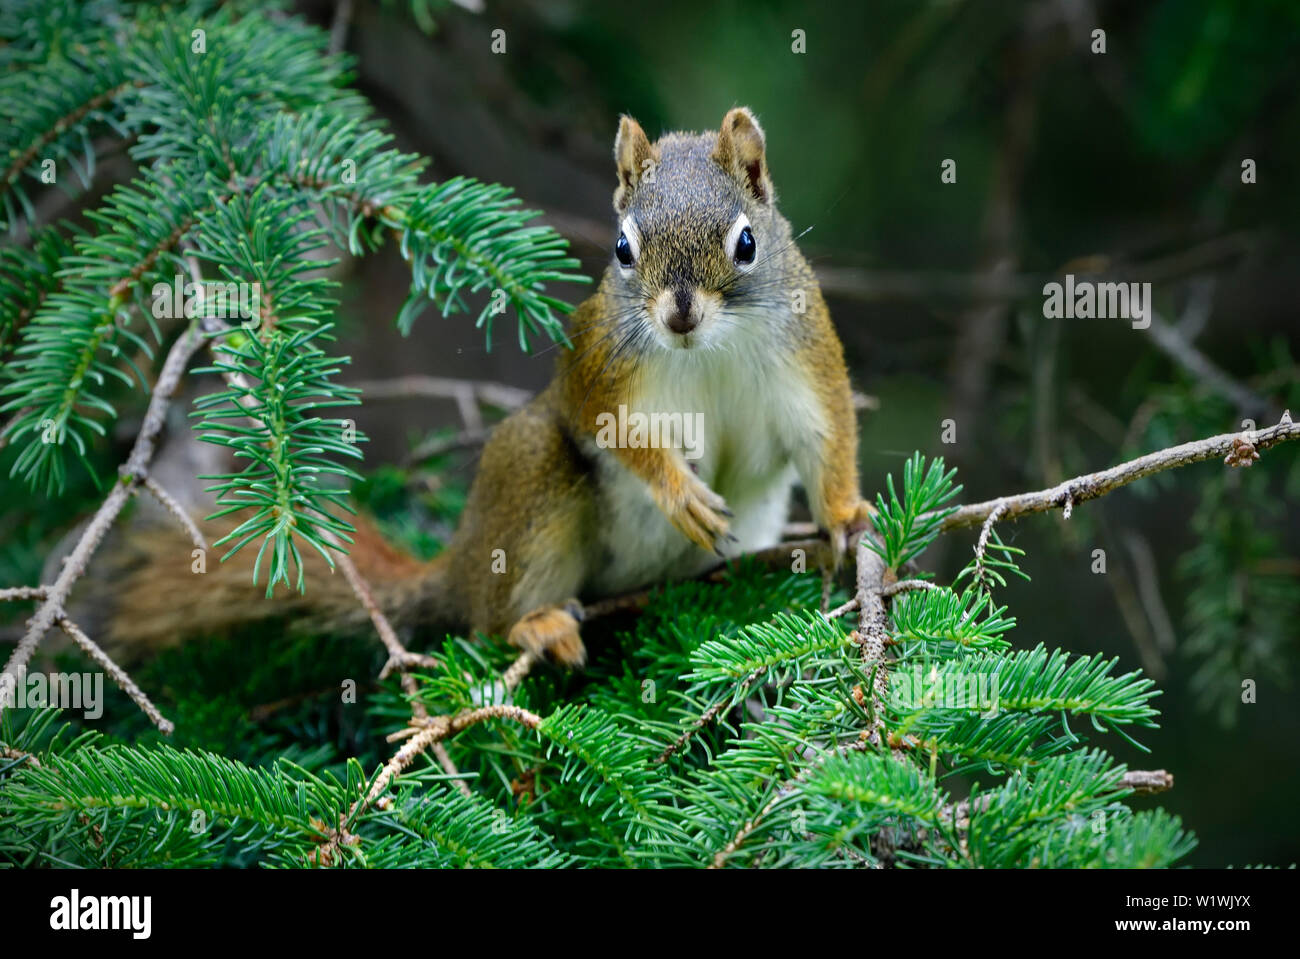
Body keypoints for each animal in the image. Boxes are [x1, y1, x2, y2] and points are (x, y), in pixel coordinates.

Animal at [101, 107, 871, 667]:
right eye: (623, 249)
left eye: (746, 243)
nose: (679, 314)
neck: (709, 348)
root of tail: (461, 563)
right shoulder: (598, 366)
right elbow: (608, 427)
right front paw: (678, 490)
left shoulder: (805, 359)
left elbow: (825, 431)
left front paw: (846, 517)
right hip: (528, 477)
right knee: (484, 622)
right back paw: (535, 626)